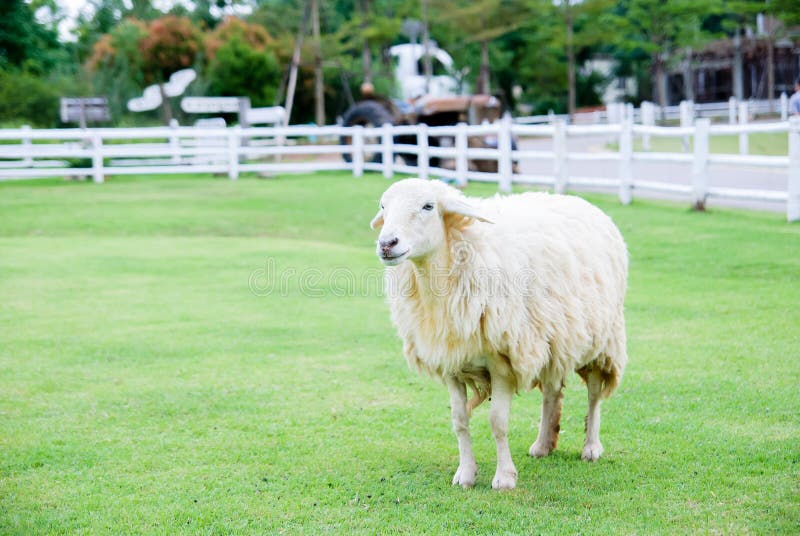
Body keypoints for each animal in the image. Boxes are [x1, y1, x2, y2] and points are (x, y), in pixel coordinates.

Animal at [370, 178, 628, 490]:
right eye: (383, 206)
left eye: (428, 206)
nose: (387, 244)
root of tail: (580, 200)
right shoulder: (451, 361)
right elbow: (459, 420)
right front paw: (466, 473)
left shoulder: (502, 359)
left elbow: (498, 422)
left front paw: (504, 477)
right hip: (552, 337)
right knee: (551, 391)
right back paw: (543, 444)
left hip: (602, 339)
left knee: (593, 394)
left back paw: (591, 446)